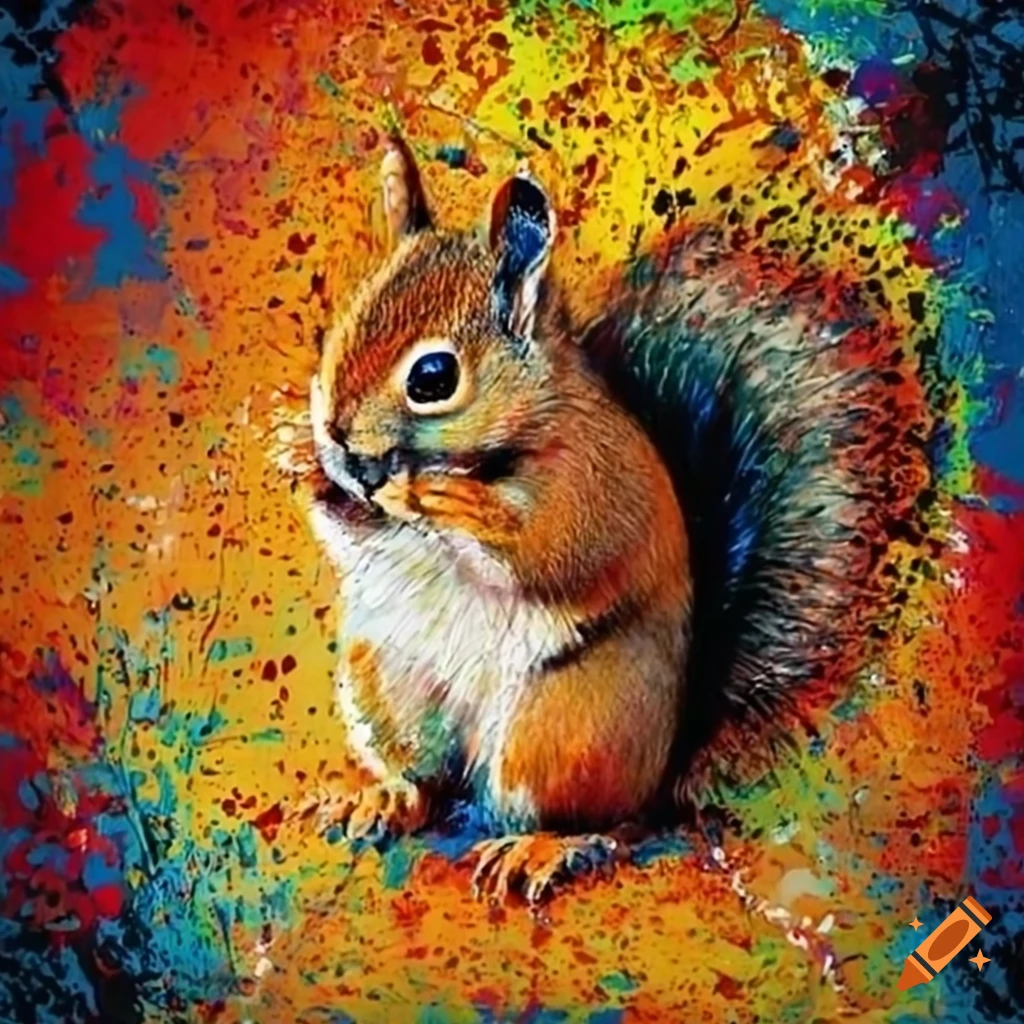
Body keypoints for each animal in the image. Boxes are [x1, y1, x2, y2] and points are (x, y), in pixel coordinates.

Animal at [293, 135, 886, 905]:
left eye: (432, 378)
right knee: (429, 783)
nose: (335, 434)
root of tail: (662, 772)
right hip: (388, 687)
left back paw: (548, 847)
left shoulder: (595, 481)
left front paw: (455, 502)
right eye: (341, 328)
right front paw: (304, 463)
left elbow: (557, 547)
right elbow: (350, 527)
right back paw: (386, 796)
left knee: (613, 824)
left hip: (562, 728)